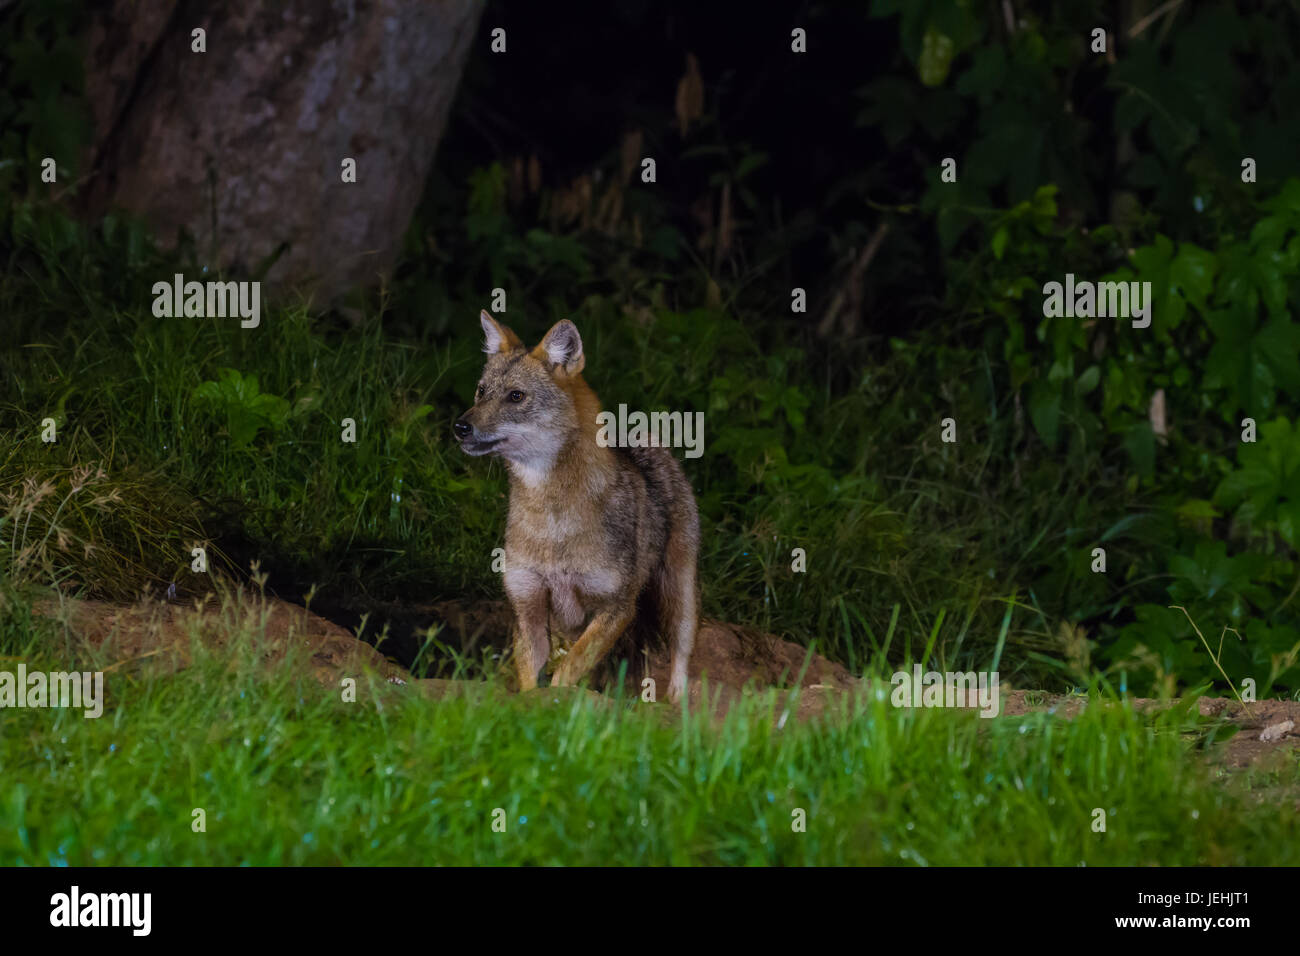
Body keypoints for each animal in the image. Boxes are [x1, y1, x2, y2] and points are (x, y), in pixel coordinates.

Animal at [453, 310, 700, 702]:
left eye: (516, 396)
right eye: (481, 391)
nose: (460, 427)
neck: (552, 524)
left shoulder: (616, 607)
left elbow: (568, 672)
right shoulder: (528, 606)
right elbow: (534, 681)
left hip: (679, 595)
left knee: (680, 654)